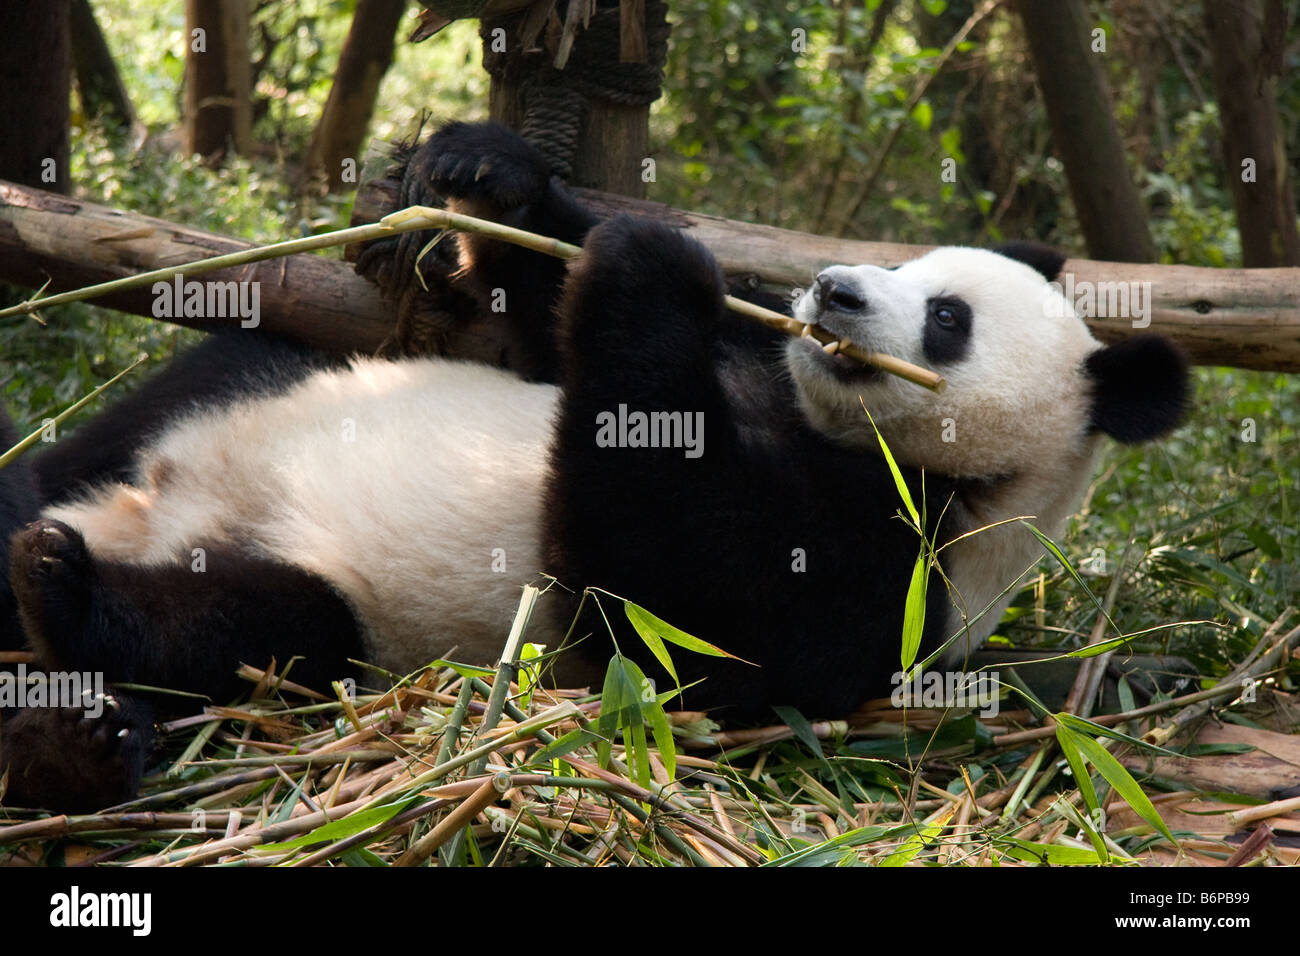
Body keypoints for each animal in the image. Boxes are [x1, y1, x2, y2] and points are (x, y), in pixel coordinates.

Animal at [0, 122, 1189, 810]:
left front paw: (651, 263)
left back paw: (67, 615)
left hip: (337, 613)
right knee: (183, 396)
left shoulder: (896, 579)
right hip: (258, 387)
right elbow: (547, 336)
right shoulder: (757, 364)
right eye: (910, 266)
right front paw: (488, 172)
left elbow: (675, 610)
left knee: (253, 631)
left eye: (947, 319)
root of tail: (139, 514)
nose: (835, 289)